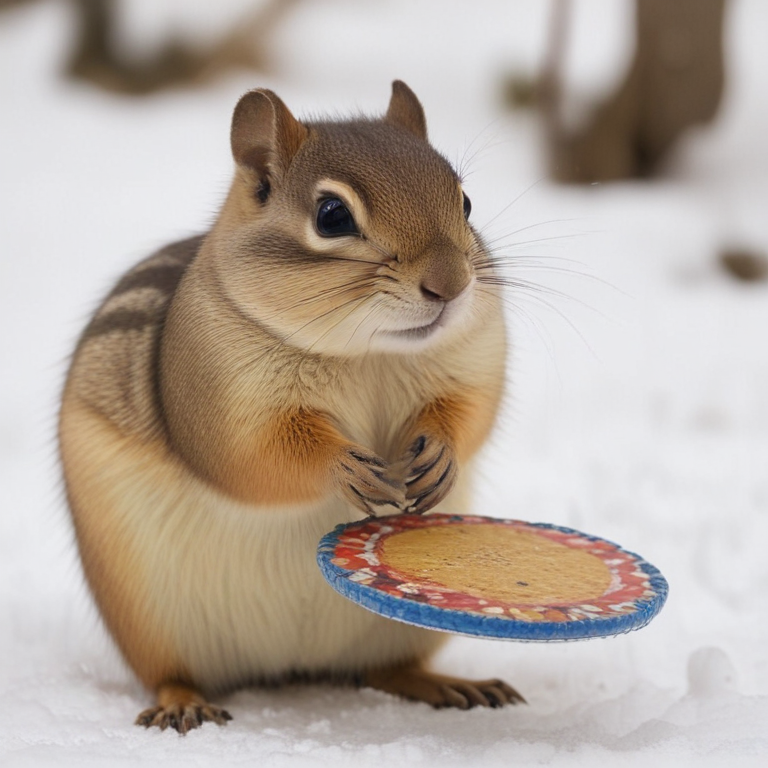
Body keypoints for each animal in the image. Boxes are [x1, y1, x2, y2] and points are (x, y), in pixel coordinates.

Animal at [58, 80, 522, 734]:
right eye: (332, 216)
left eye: (466, 201)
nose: (452, 284)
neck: (368, 354)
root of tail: (290, 666)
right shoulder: (226, 403)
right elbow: (259, 459)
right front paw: (343, 467)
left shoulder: (475, 358)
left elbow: (470, 410)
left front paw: (441, 454)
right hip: (144, 618)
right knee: (168, 673)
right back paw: (183, 703)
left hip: (400, 631)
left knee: (386, 670)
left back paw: (450, 685)